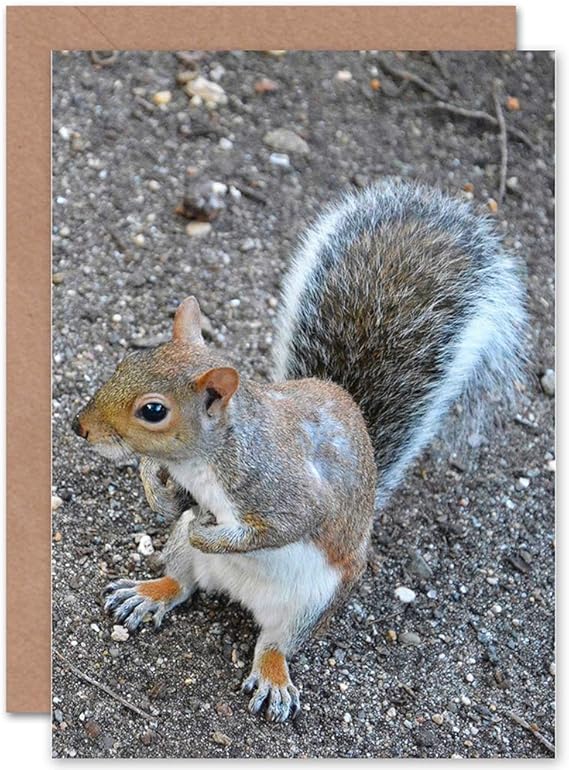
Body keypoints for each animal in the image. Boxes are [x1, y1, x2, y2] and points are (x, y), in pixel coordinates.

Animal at [72, 179, 526, 722]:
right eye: (126, 360)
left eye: (154, 411)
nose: (80, 427)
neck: (206, 459)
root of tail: (238, 593)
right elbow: (160, 479)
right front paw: (156, 490)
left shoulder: (281, 488)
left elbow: (286, 524)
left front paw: (213, 533)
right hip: (181, 551)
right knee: (184, 581)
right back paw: (150, 592)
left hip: (313, 602)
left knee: (276, 643)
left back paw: (270, 670)